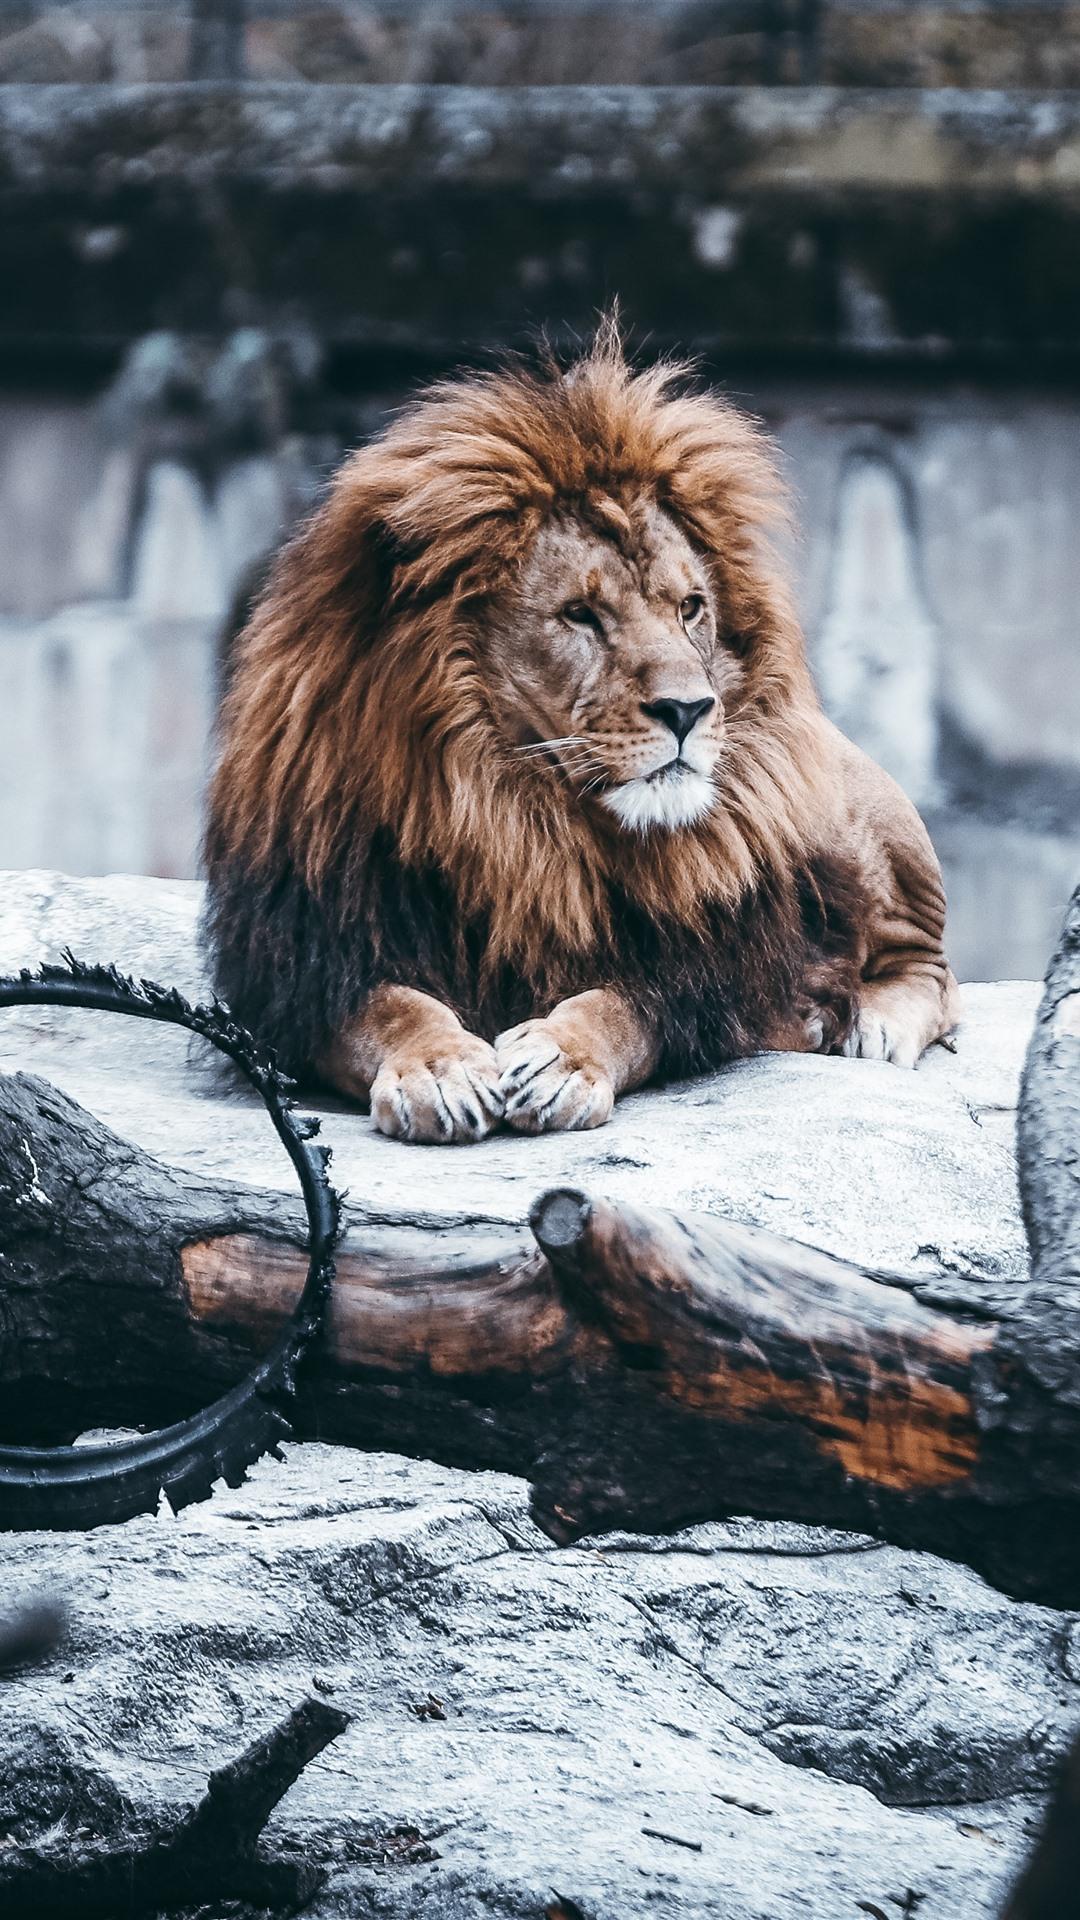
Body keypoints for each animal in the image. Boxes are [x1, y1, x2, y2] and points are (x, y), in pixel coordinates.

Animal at [204, 328, 959, 1144]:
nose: (690, 709)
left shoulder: (707, 971)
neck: (514, 819)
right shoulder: (299, 970)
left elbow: (624, 1005)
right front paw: (438, 1069)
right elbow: (388, 1007)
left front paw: (561, 1059)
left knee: (933, 970)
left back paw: (867, 1028)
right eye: (580, 615)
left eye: (690, 606)